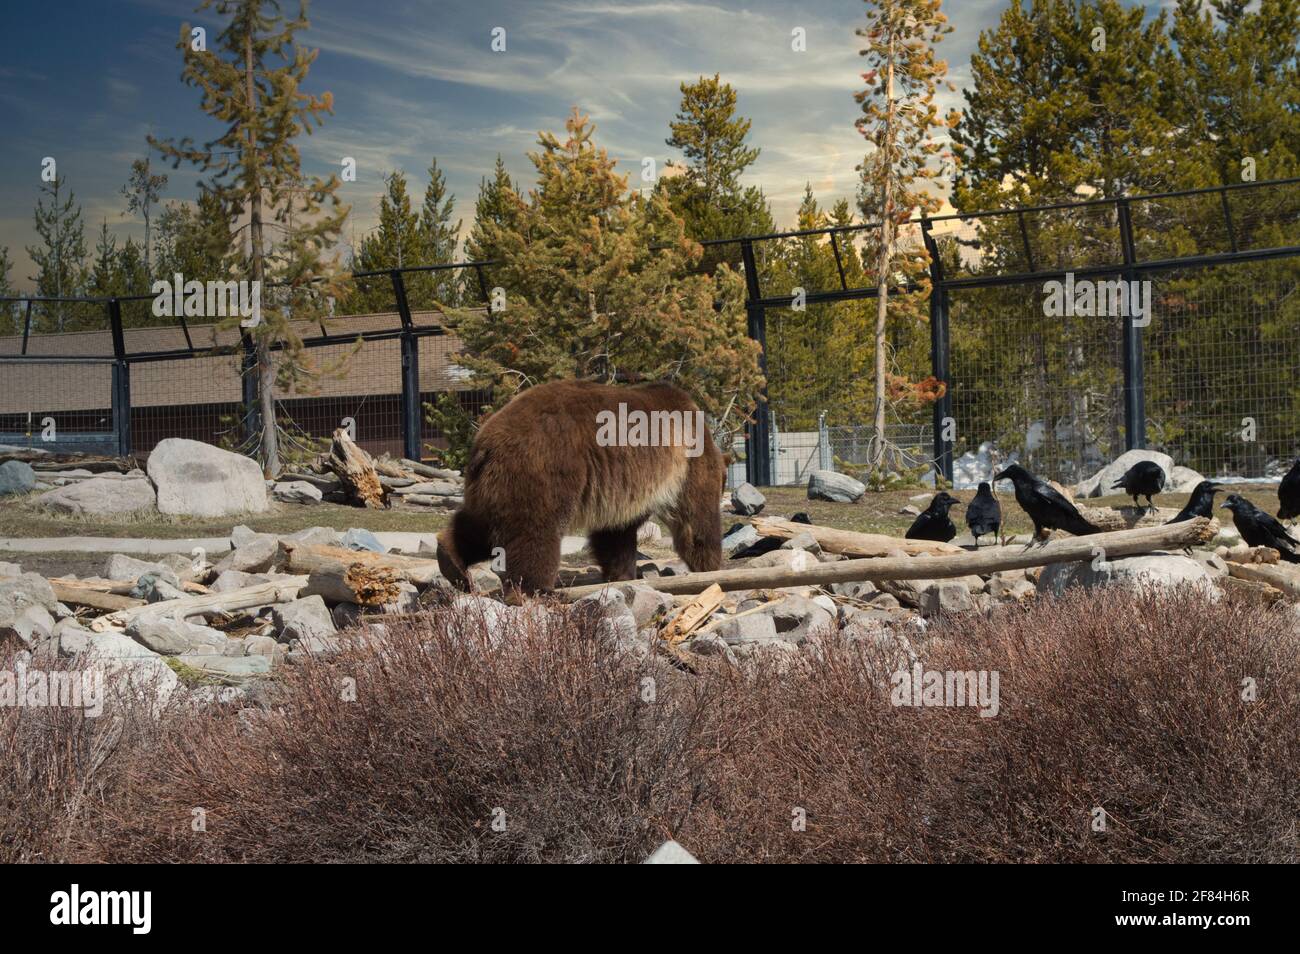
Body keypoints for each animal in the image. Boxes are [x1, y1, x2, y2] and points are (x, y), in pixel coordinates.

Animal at [436, 379, 725, 597]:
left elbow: (615, 535)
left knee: (479, 524)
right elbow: (696, 517)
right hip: (542, 469)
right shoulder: (685, 461)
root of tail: (486, 444)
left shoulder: (622, 489)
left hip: (491, 483)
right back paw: (536, 590)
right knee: (534, 532)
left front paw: (622, 575)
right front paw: (710, 566)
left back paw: (452, 563)